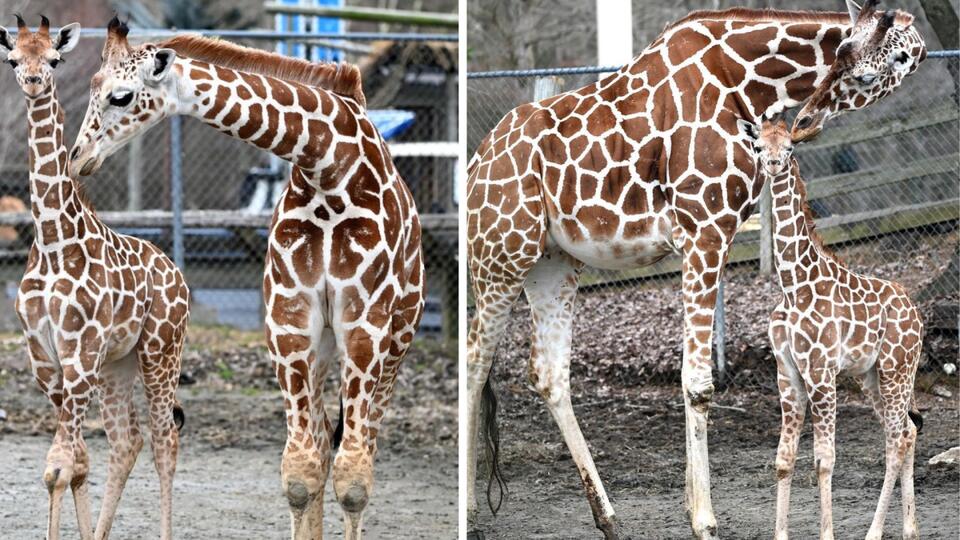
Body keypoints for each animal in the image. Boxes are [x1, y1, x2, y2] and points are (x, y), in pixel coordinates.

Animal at [0, 16, 190, 540]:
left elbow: (58, 466)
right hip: (116, 365)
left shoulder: (78, 355)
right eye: (13, 58)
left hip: (160, 351)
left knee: (165, 439)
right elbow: (75, 462)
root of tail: (177, 273)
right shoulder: (46, 360)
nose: (33, 81)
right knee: (127, 440)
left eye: (54, 59)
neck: (51, 239)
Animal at [67, 18, 424, 540]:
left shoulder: (366, 326)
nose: (77, 158)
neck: (327, 168)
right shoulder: (289, 322)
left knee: (362, 449)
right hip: (324, 345)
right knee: (321, 442)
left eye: (121, 96)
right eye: (93, 86)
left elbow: (354, 480)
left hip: (395, 342)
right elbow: (301, 472)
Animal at [742, 117, 924, 540]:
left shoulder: (821, 372)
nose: (773, 164)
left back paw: (875, 532)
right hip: (871, 375)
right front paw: (780, 534)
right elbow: (784, 458)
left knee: (897, 439)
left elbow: (824, 459)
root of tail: (917, 313)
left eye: (790, 147)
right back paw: (910, 529)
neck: (793, 285)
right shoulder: (787, 372)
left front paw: (827, 533)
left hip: (896, 370)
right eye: (759, 146)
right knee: (907, 431)